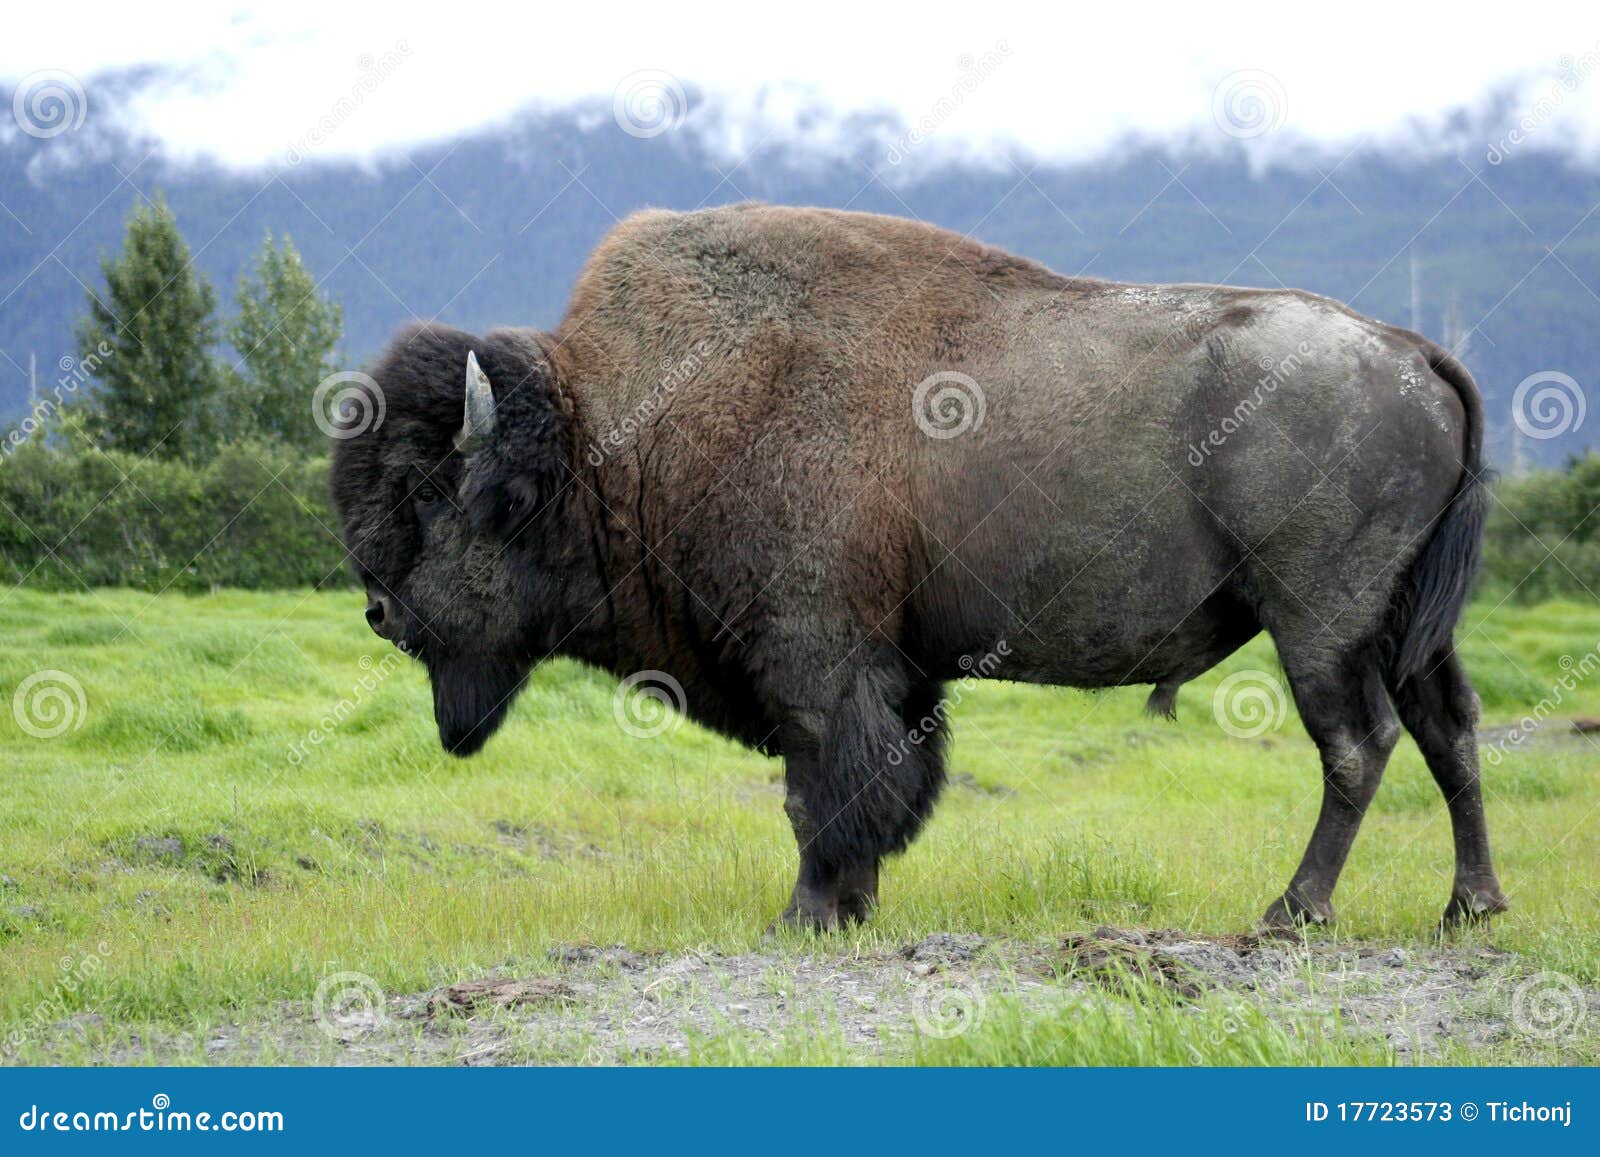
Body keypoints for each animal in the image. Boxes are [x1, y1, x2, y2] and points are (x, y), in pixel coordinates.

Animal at [331, 204, 1505, 932]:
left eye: (430, 496)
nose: (379, 611)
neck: (613, 434)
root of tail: (1411, 349)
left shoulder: (813, 659)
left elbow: (821, 788)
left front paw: (807, 913)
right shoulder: (892, 670)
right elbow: (877, 783)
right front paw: (851, 906)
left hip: (1319, 621)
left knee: (1357, 744)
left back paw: (1293, 910)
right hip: (1407, 623)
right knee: (1448, 728)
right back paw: (1470, 906)